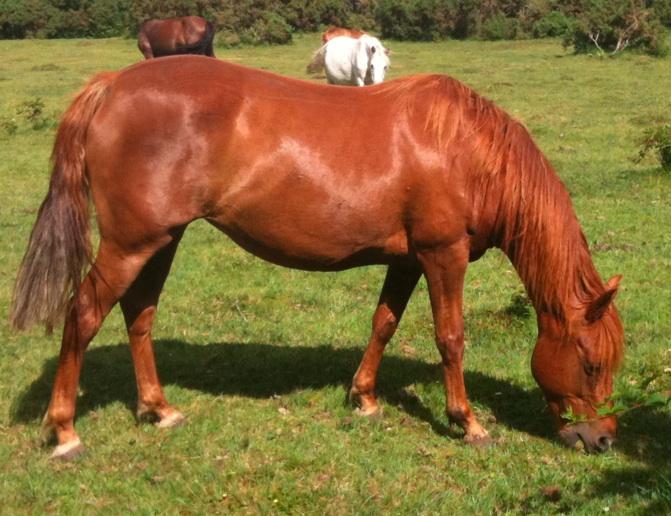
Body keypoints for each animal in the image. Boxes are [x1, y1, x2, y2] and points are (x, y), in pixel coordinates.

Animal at [11, 56, 624, 460]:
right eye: (591, 363)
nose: (601, 438)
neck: (467, 151)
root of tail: (111, 86)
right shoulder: (442, 255)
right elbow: (450, 337)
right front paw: (467, 422)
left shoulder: (406, 260)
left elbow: (383, 323)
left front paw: (365, 397)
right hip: (130, 245)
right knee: (84, 315)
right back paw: (64, 432)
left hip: (161, 240)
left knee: (139, 314)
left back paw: (159, 409)